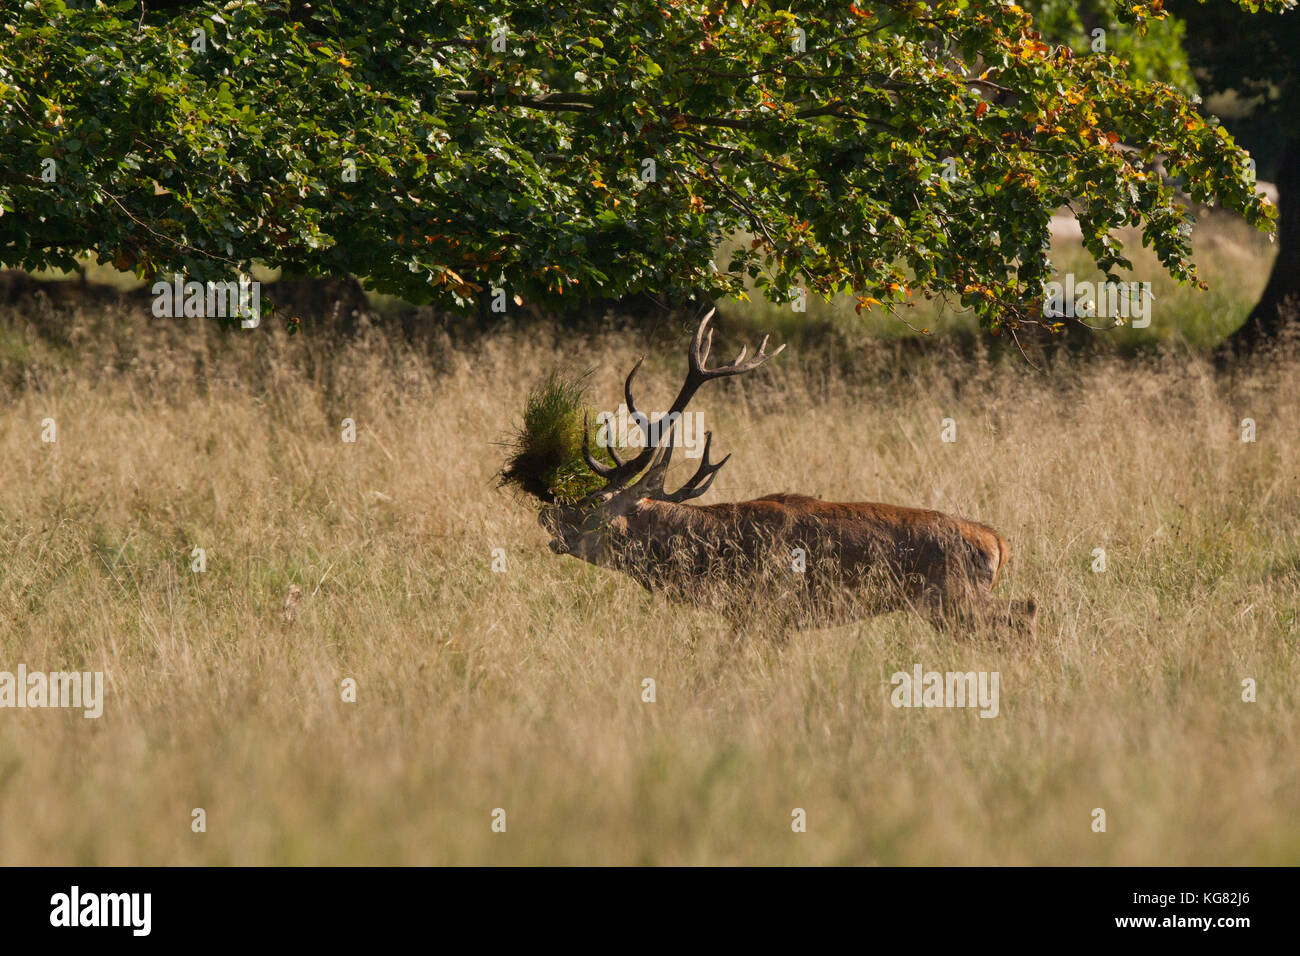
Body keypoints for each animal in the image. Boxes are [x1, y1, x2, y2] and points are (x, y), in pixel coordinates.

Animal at [538, 311, 1038, 639]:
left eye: (595, 507)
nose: (549, 517)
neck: (711, 553)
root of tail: (999, 543)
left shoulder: (767, 606)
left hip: (953, 599)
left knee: (1024, 612)